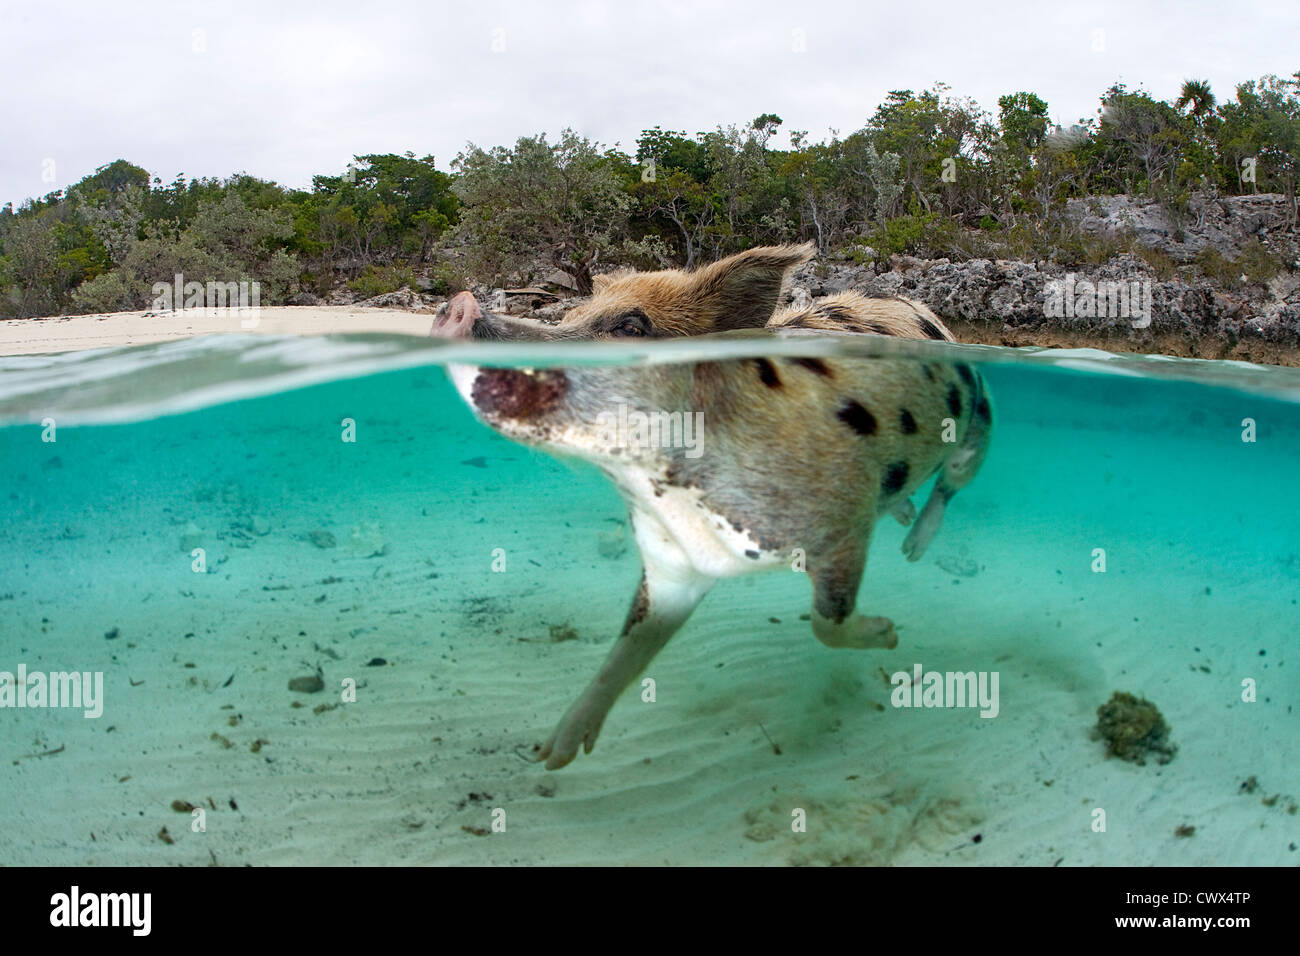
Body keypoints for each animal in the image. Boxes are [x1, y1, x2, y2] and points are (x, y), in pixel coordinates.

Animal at [431, 244, 992, 769]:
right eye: (569, 316)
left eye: (632, 326)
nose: (457, 305)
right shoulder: (670, 561)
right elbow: (627, 649)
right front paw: (551, 756)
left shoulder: (843, 518)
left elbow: (826, 621)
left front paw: (891, 635)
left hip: (978, 416)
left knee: (952, 481)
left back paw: (915, 547)